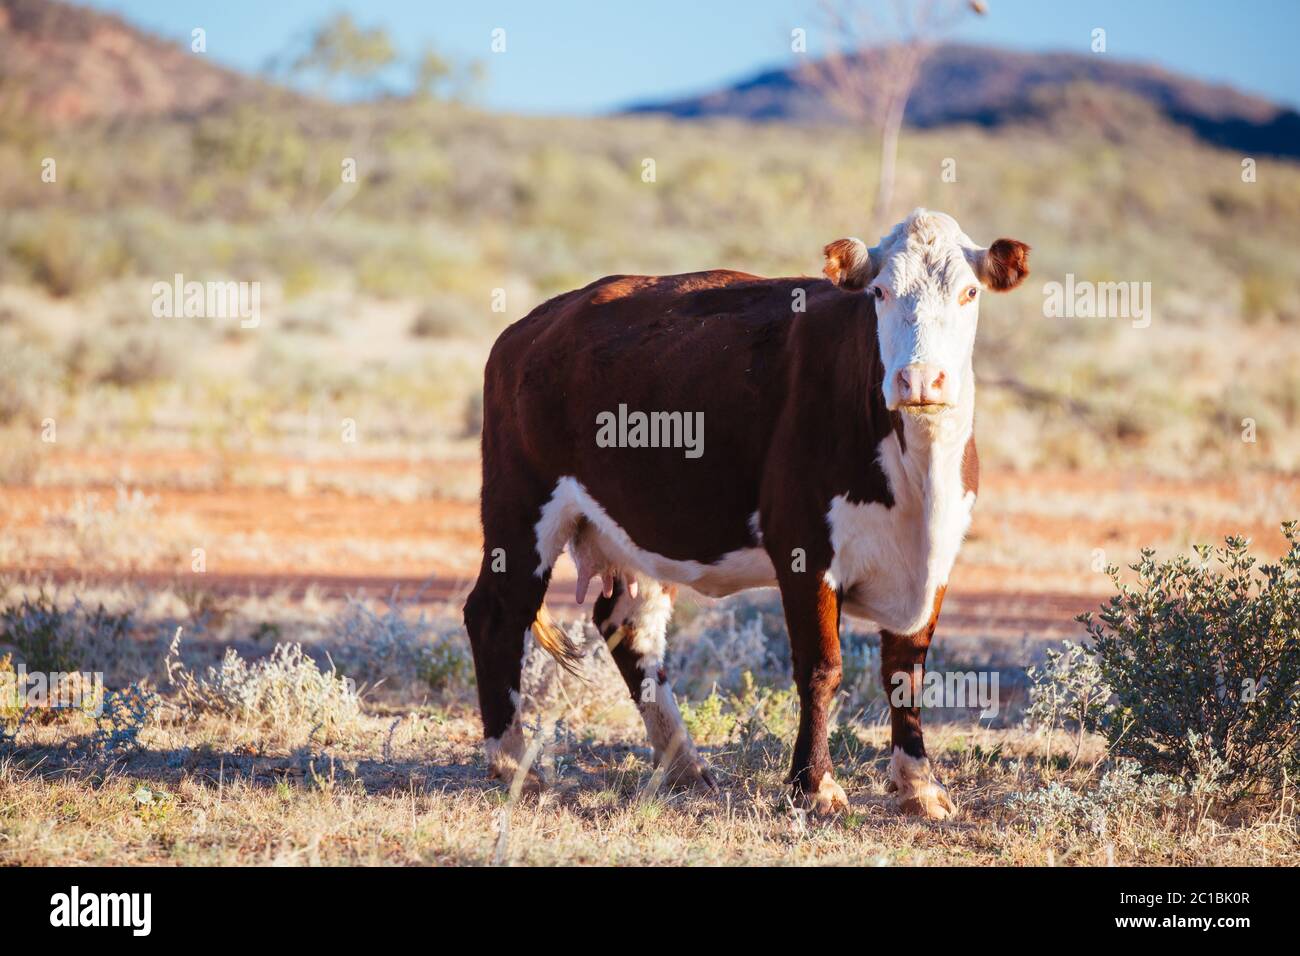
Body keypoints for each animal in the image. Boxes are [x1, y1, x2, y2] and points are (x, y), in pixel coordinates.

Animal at [463, 209, 1029, 818]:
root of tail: (531, 327)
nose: (919, 379)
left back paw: (685, 766)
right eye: (880, 291)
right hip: (520, 508)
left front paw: (920, 786)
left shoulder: (936, 559)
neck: (918, 478)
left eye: (969, 292)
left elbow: (907, 670)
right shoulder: (804, 548)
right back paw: (515, 765)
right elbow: (821, 667)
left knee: (628, 625)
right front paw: (815, 785)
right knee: (495, 615)